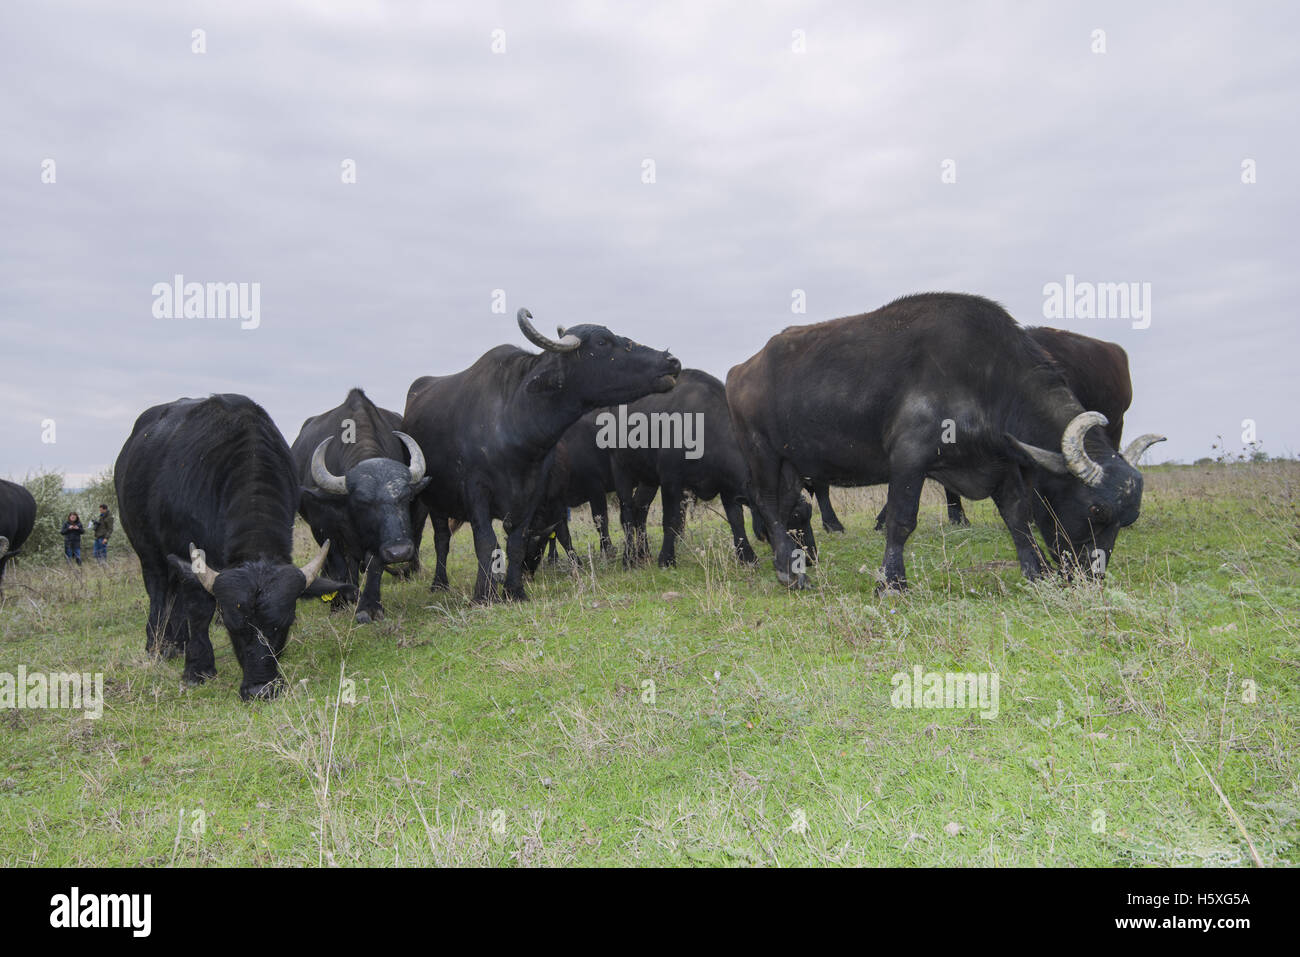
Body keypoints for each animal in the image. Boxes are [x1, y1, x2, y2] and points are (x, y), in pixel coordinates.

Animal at [116, 394, 352, 699]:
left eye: (285, 623)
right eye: (231, 625)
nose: (260, 689)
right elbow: (199, 609)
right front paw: (198, 668)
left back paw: (178, 642)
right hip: (146, 549)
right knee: (158, 589)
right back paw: (159, 646)